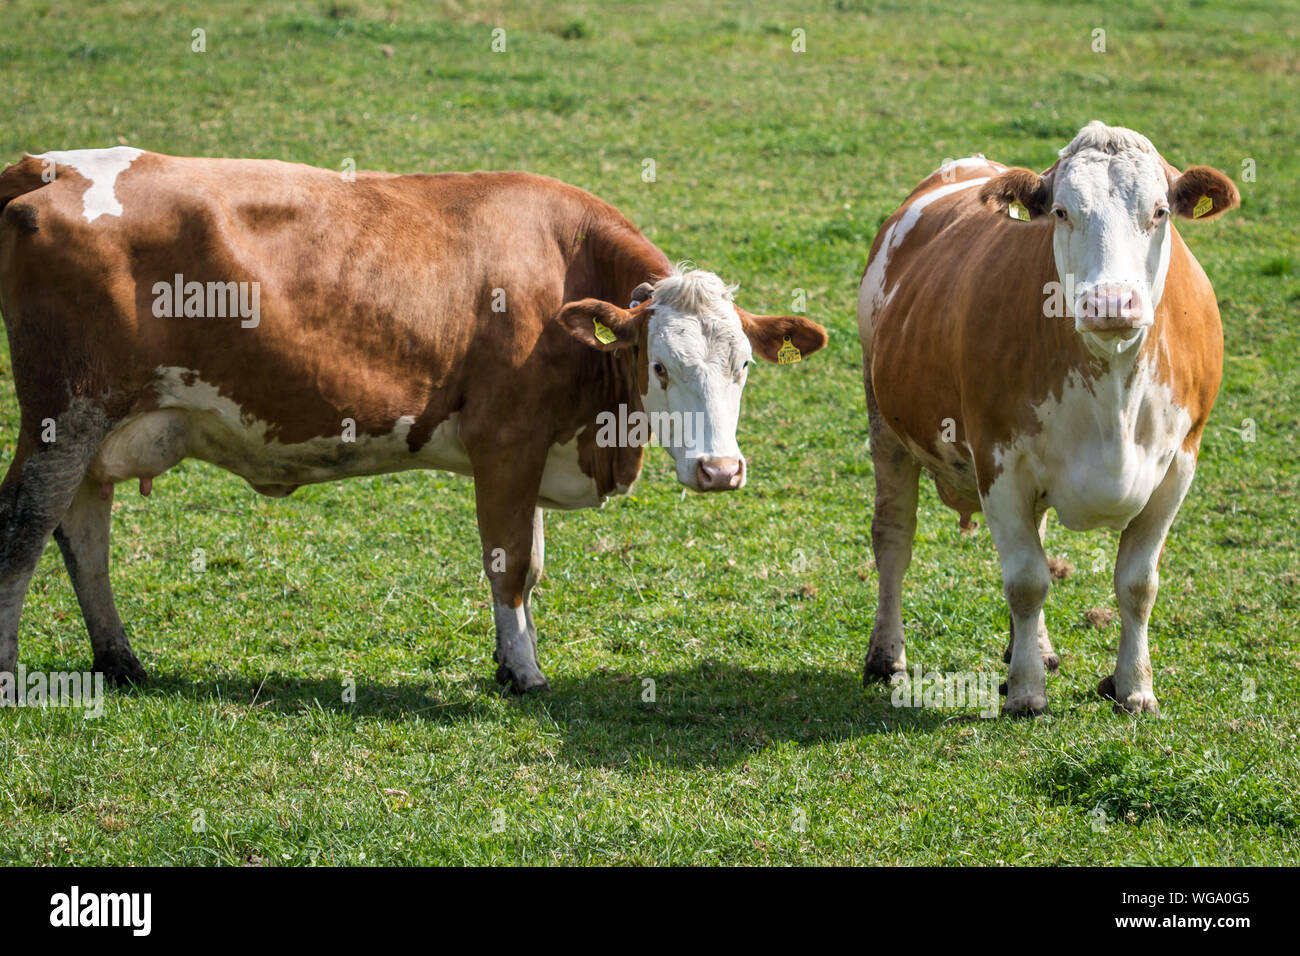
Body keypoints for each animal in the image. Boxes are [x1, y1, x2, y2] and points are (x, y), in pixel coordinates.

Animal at [0, 151, 826, 702]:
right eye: (659, 366)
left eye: (743, 366)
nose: (719, 471)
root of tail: (48, 167)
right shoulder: (506, 443)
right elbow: (511, 566)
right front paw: (522, 671)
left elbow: (531, 563)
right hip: (63, 415)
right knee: (25, 526)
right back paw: (13, 673)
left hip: (95, 428)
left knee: (83, 532)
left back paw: (120, 660)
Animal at [857, 121, 1242, 717]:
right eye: (1062, 211)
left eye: (1159, 211)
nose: (1111, 303)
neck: (1113, 390)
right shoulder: (998, 463)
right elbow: (1027, 581)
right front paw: (1026, 692)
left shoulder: (1179, 466)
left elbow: (1137, 584)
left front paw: (1134, 687)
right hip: (885, 428)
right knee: (894, 540)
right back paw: (887, 655)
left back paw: (1034, 646)